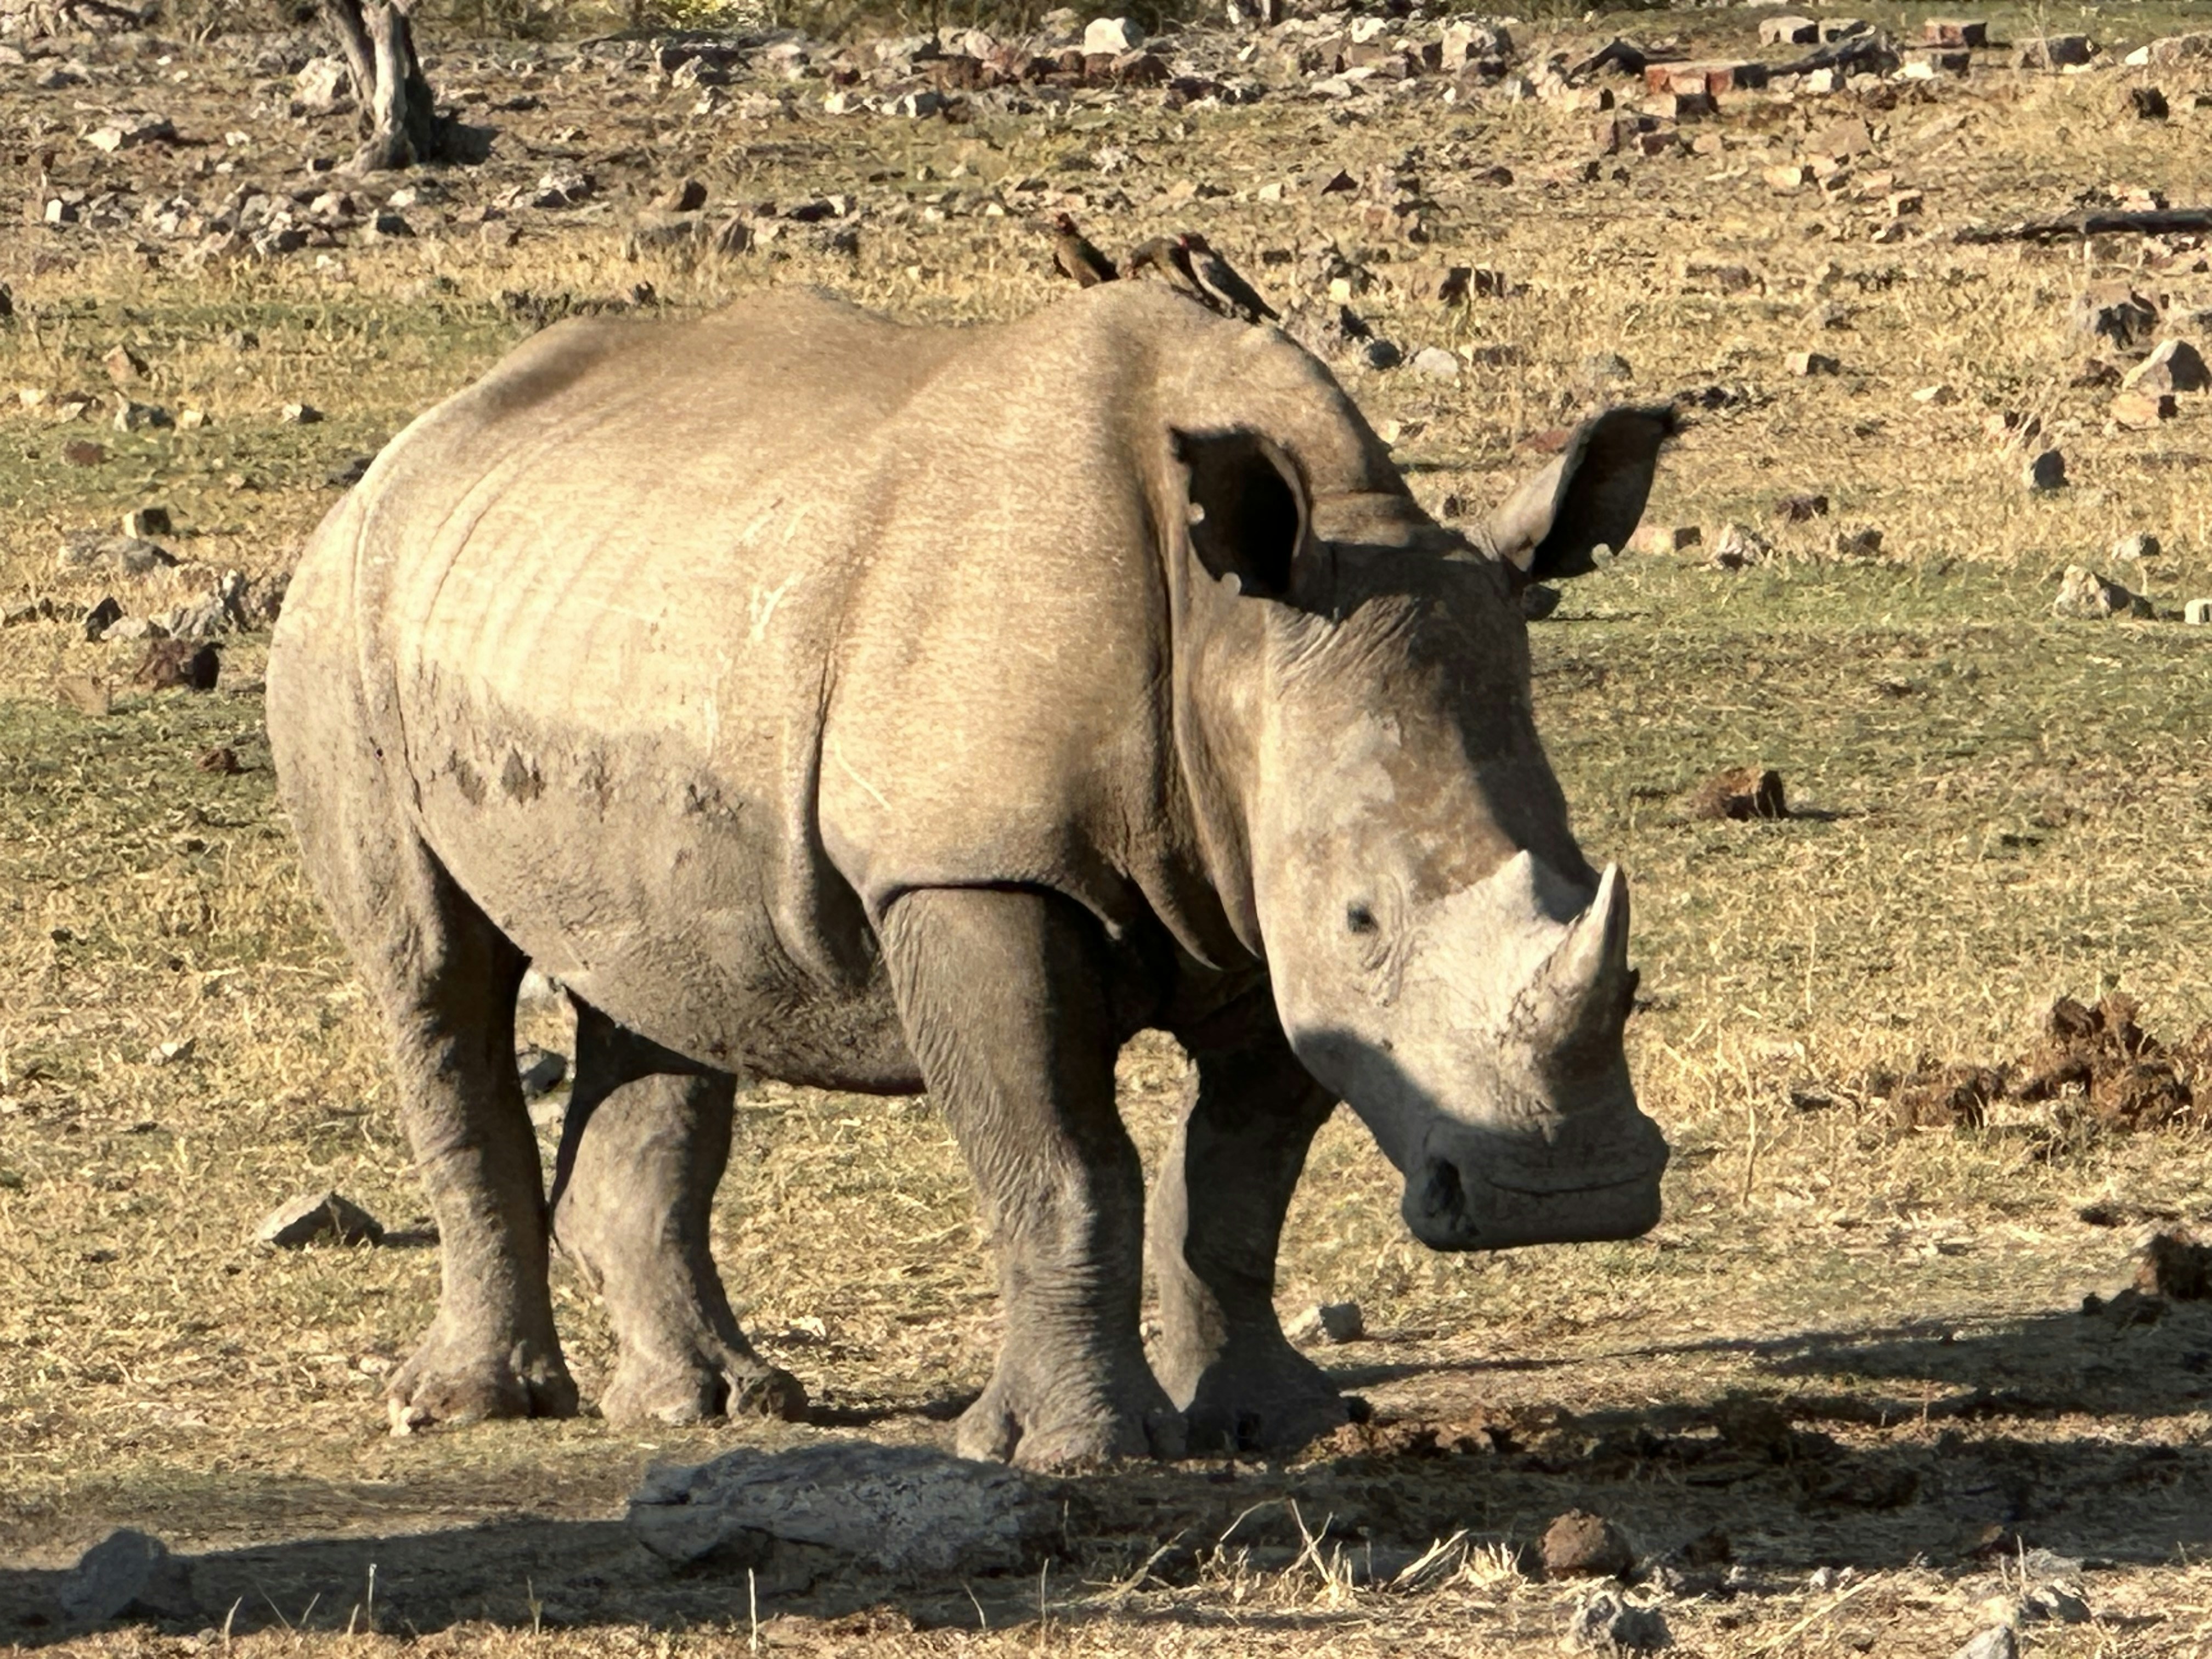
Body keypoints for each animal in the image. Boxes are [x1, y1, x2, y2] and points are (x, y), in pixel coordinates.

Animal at [266, 282, 1673, 1470]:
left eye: (1587, 895)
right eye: (1365, 915)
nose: (1571, 1196)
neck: (1235, 638)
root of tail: (414, 439)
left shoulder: (1267, 918)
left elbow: (1239, 1180)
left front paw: (1278, 1423)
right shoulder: (974, 873)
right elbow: (1064, 1164)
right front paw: (1073, 1453)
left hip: (624, 618)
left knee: (659, 982)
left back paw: (711, 1402)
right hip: (341, 613)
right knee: (434, 978)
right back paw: (474, 1405)